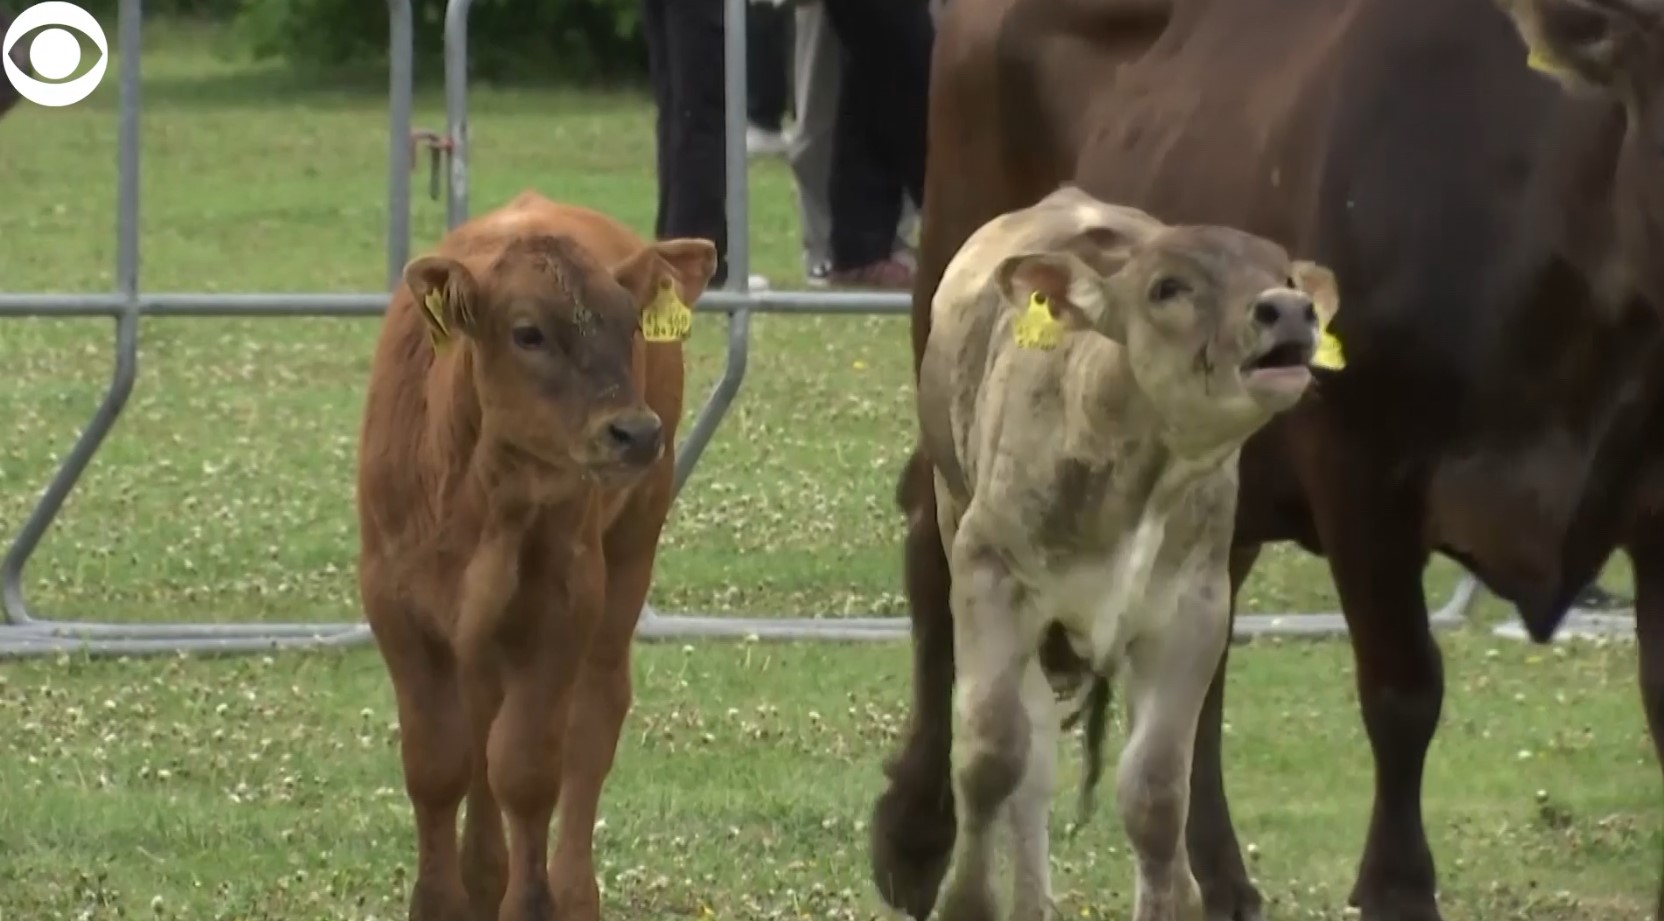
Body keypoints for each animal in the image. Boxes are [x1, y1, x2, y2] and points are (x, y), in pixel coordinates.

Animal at [355, 190, 716, 921]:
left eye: (630, 326)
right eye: (528, 333)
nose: (636, 432)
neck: (482, 488)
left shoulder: (563, 606)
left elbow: (524, 769)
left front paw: (532, 902)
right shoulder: (396, 608)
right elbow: (438, 763)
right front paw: (443, 899)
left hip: (628, 554)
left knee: (591, 720)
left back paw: (572, 890)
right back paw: (482, 876)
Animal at [915, 184, 1339, 921]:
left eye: (1286, 276)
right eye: (1168, 286)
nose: (1289, 310)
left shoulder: (1194, 610)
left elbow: (1156, 792)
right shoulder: (989, 571)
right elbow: (992, 754)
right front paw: (968, 899)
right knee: (1029, 764)